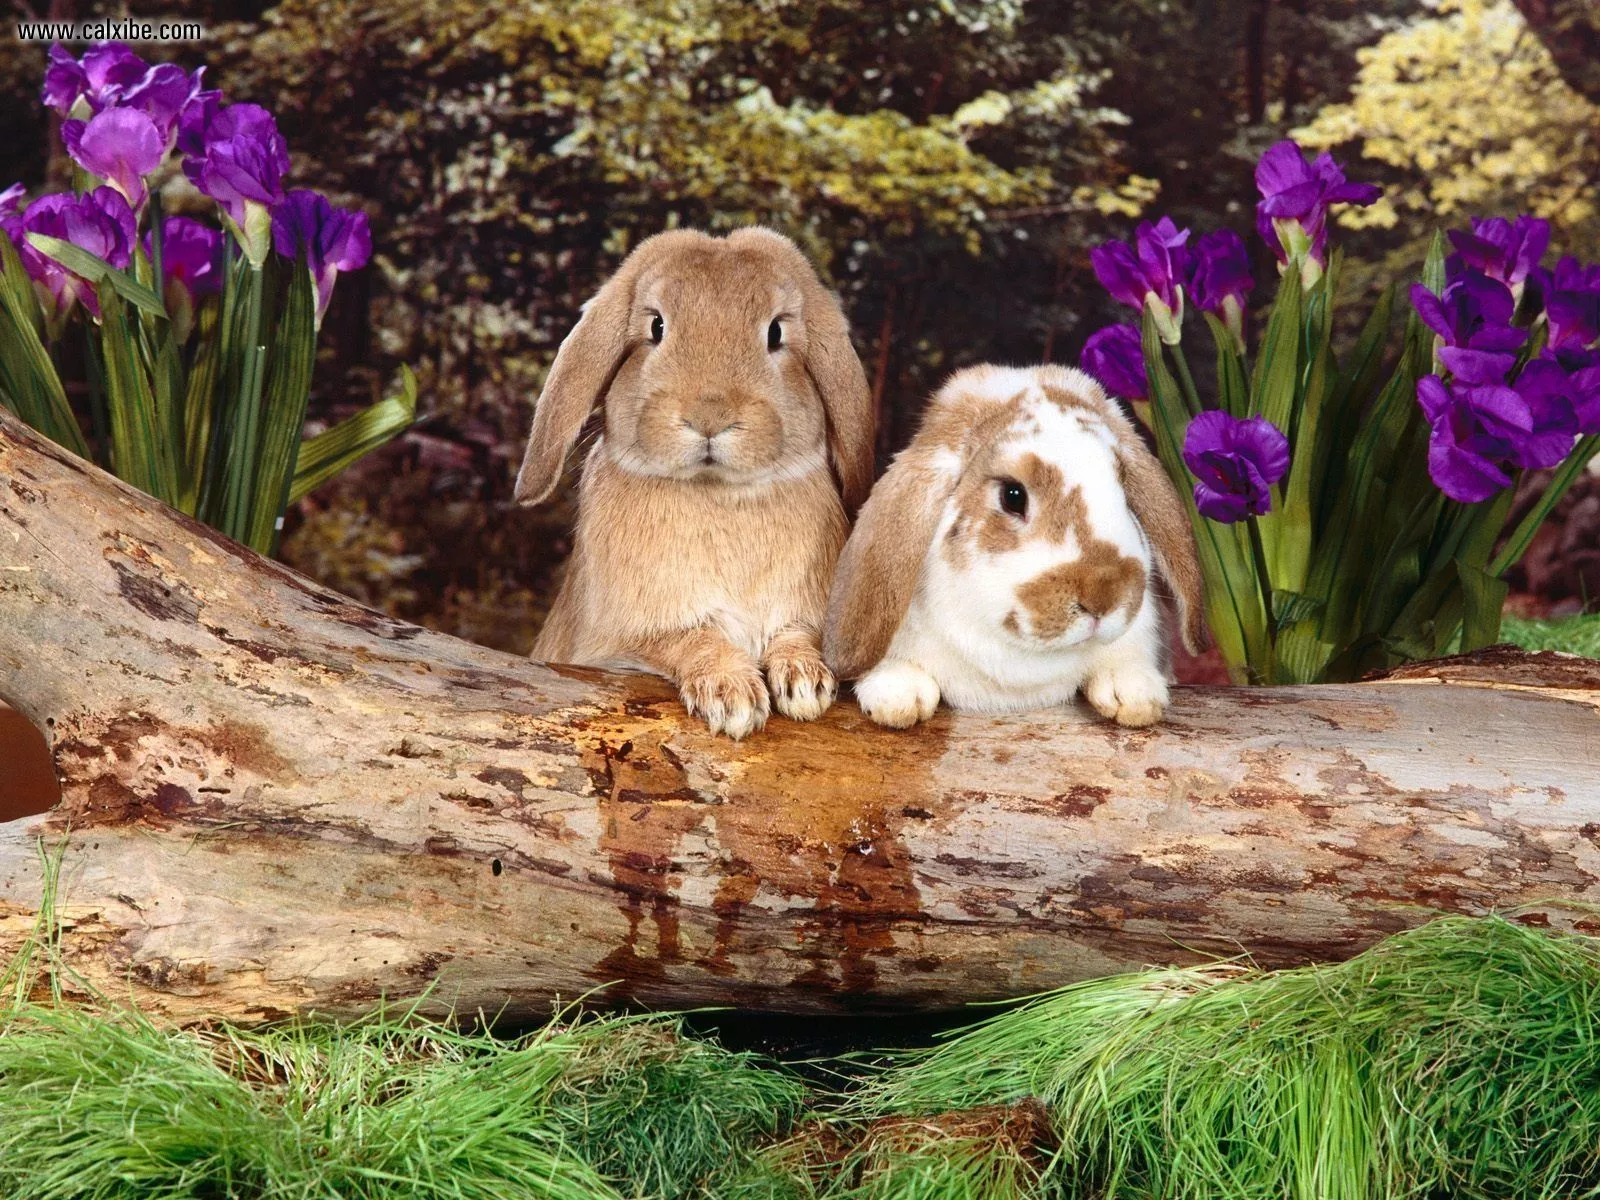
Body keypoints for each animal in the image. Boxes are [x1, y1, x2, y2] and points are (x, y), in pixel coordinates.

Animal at [515, 227, 874, 739]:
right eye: (656, 327)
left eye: (776, 332)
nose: (709, 415)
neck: (718, 492)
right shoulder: (627, 641)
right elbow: (691, 640)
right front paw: (733, 697)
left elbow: (795, 633)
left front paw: (805, 682)